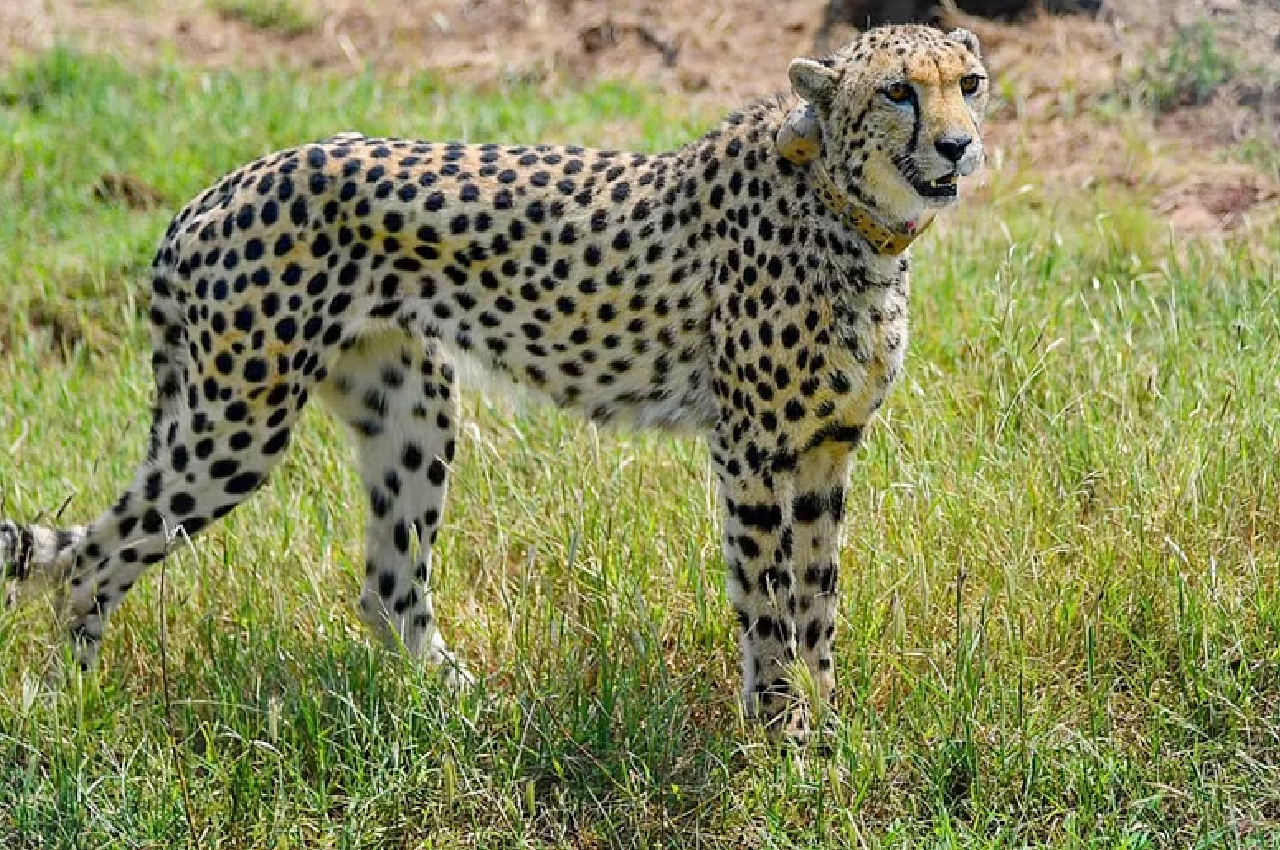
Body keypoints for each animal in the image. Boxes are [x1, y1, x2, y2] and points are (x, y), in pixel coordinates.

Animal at [0, 24, 988, 736]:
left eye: (969, 84)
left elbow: (818, 600)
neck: (853, 213)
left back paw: (470, 706)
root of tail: (215, 191)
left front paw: (829, 729)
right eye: (898, 90)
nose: (957, 146)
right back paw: (77, 707)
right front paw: (780, 735)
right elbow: (768, 601)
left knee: (388, 587)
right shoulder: (750, 451)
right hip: (237, 421)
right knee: (91, 558)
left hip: (409, 409)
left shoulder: (826, 450)